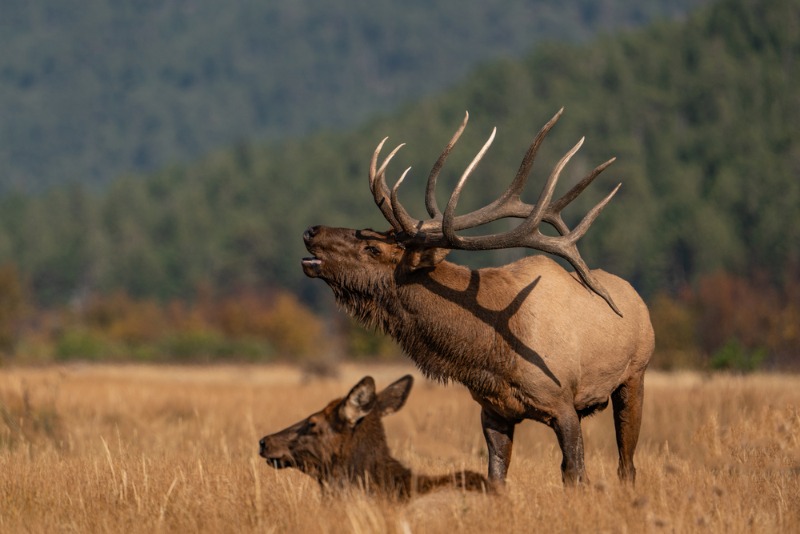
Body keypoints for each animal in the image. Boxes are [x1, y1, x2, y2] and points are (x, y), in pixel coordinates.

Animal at [301, 108, 655, 487]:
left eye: (372, 248)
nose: (311, 230)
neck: (490, 354)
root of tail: (640, 303)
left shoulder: (563, 404)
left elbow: (575, 473)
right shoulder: (493, 411)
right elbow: (495, 476)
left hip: (635, 375)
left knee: (627, 463)